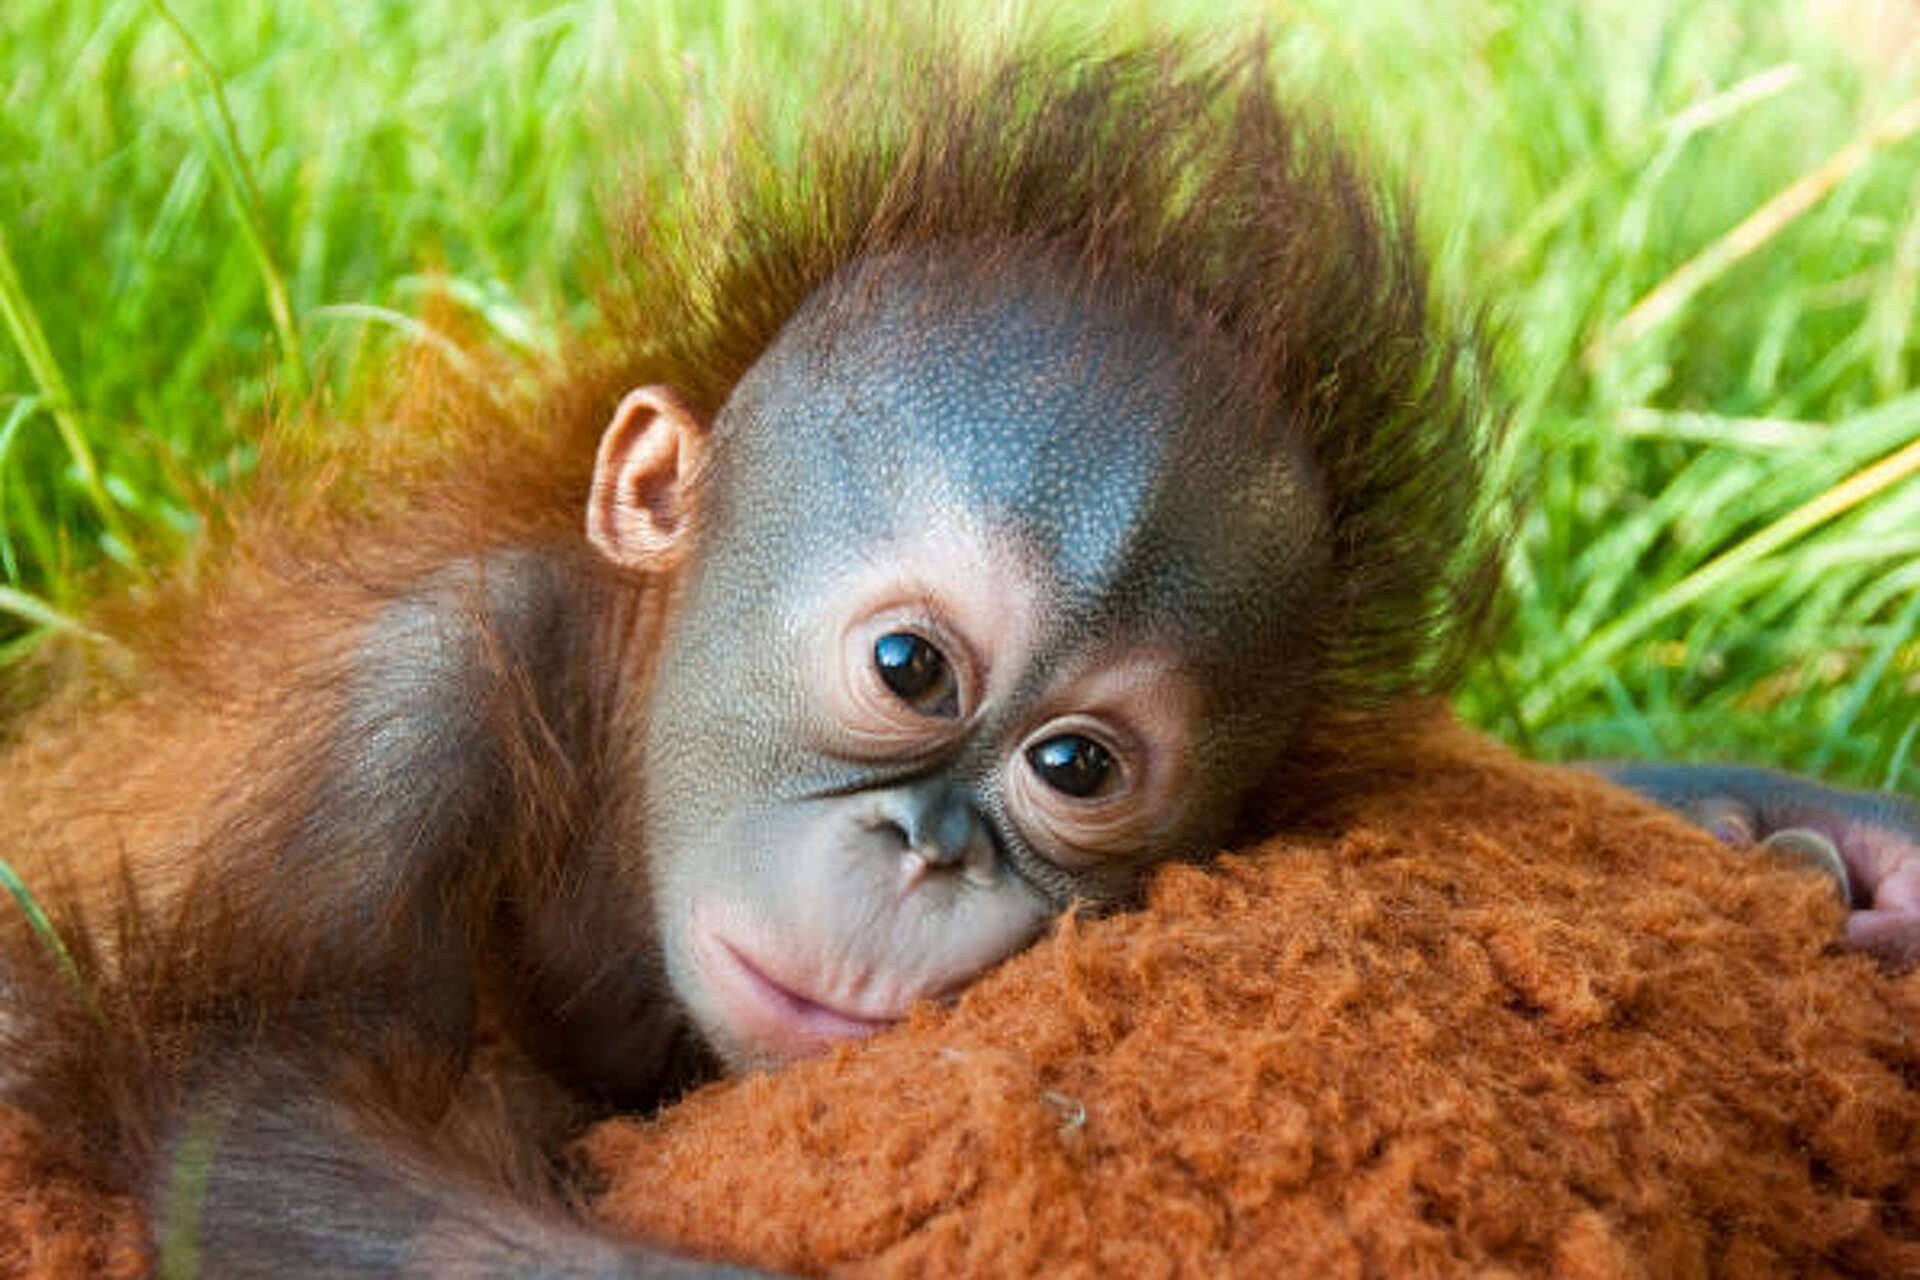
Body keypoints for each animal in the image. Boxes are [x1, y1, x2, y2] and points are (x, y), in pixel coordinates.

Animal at [1, 39, 1916, 1278]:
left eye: (1074, 767)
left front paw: (1804, 836)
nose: (920, 852)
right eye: (912, 671)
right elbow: (263, 1121)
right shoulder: (414, 702)